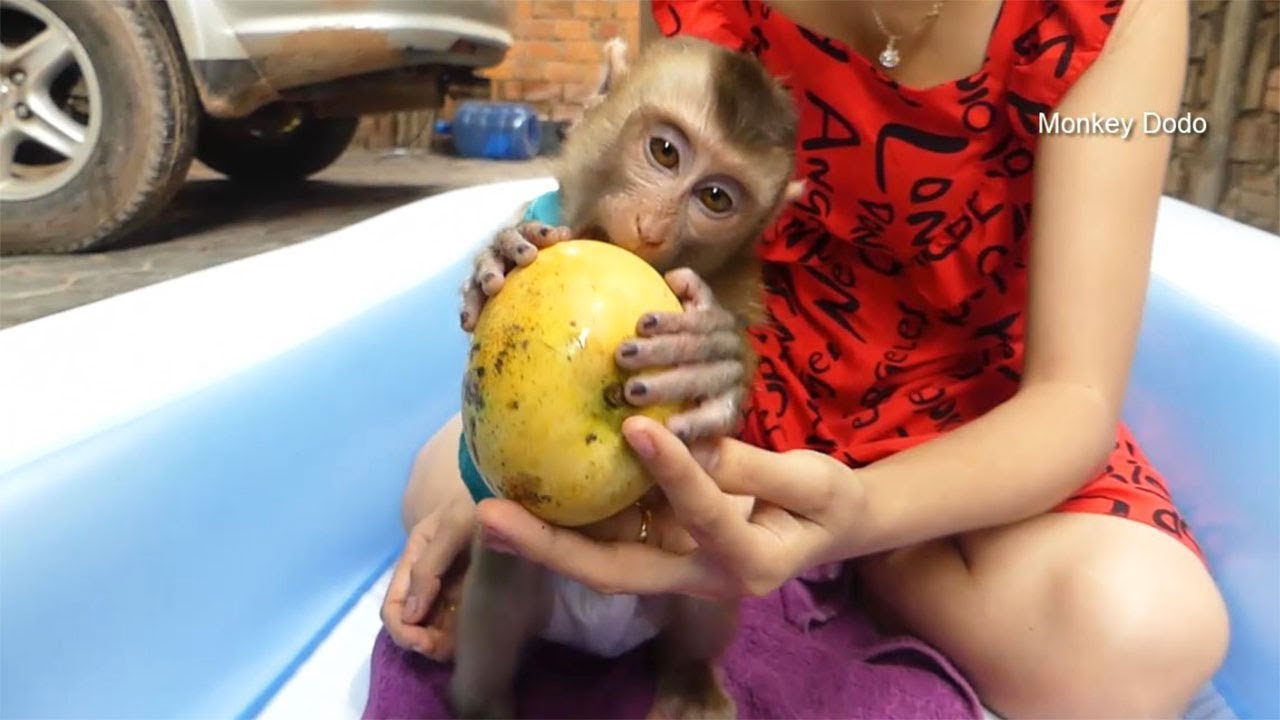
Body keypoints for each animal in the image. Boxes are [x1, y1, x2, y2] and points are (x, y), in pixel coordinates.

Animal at [448, 36, 803, 719]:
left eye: (716, 198)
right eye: (664, 152)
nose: (652, 229)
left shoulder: (741, 292)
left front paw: (715, 363)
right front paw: (499, 252)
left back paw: (690, 680)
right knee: (502, 567)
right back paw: (481, 704)